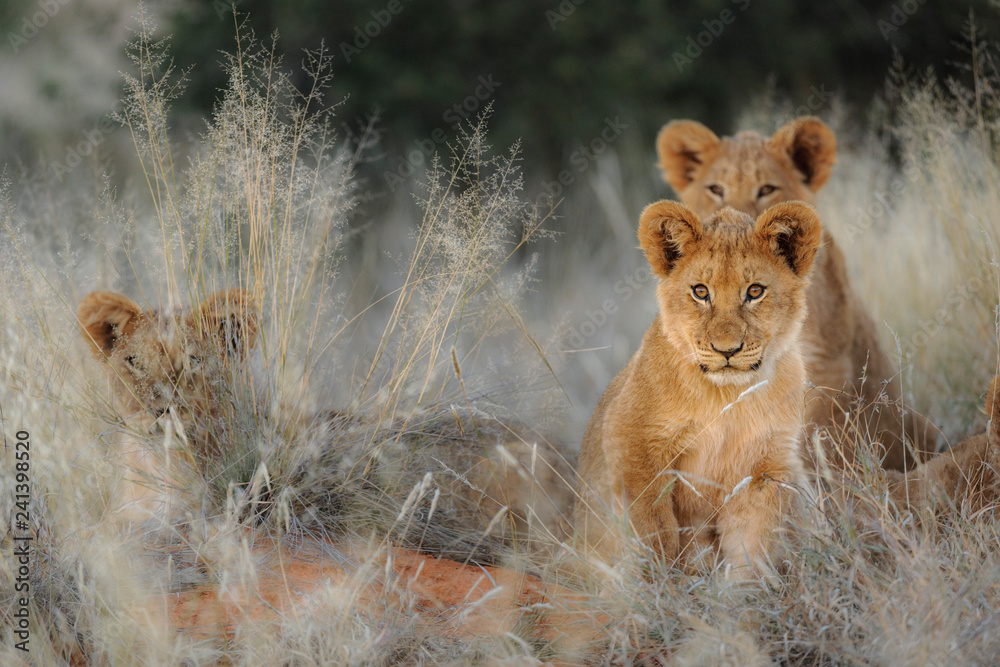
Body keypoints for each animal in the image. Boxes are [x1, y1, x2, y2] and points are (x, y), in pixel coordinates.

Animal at [574, 200, 822, 577]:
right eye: (700, 291)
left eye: (755, 291)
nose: (727, 350)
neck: (726, 396)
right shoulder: (632, 445)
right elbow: (654, 532)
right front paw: (660, 586)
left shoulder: (766, 468)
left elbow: (752, 545)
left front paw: (745, 589)